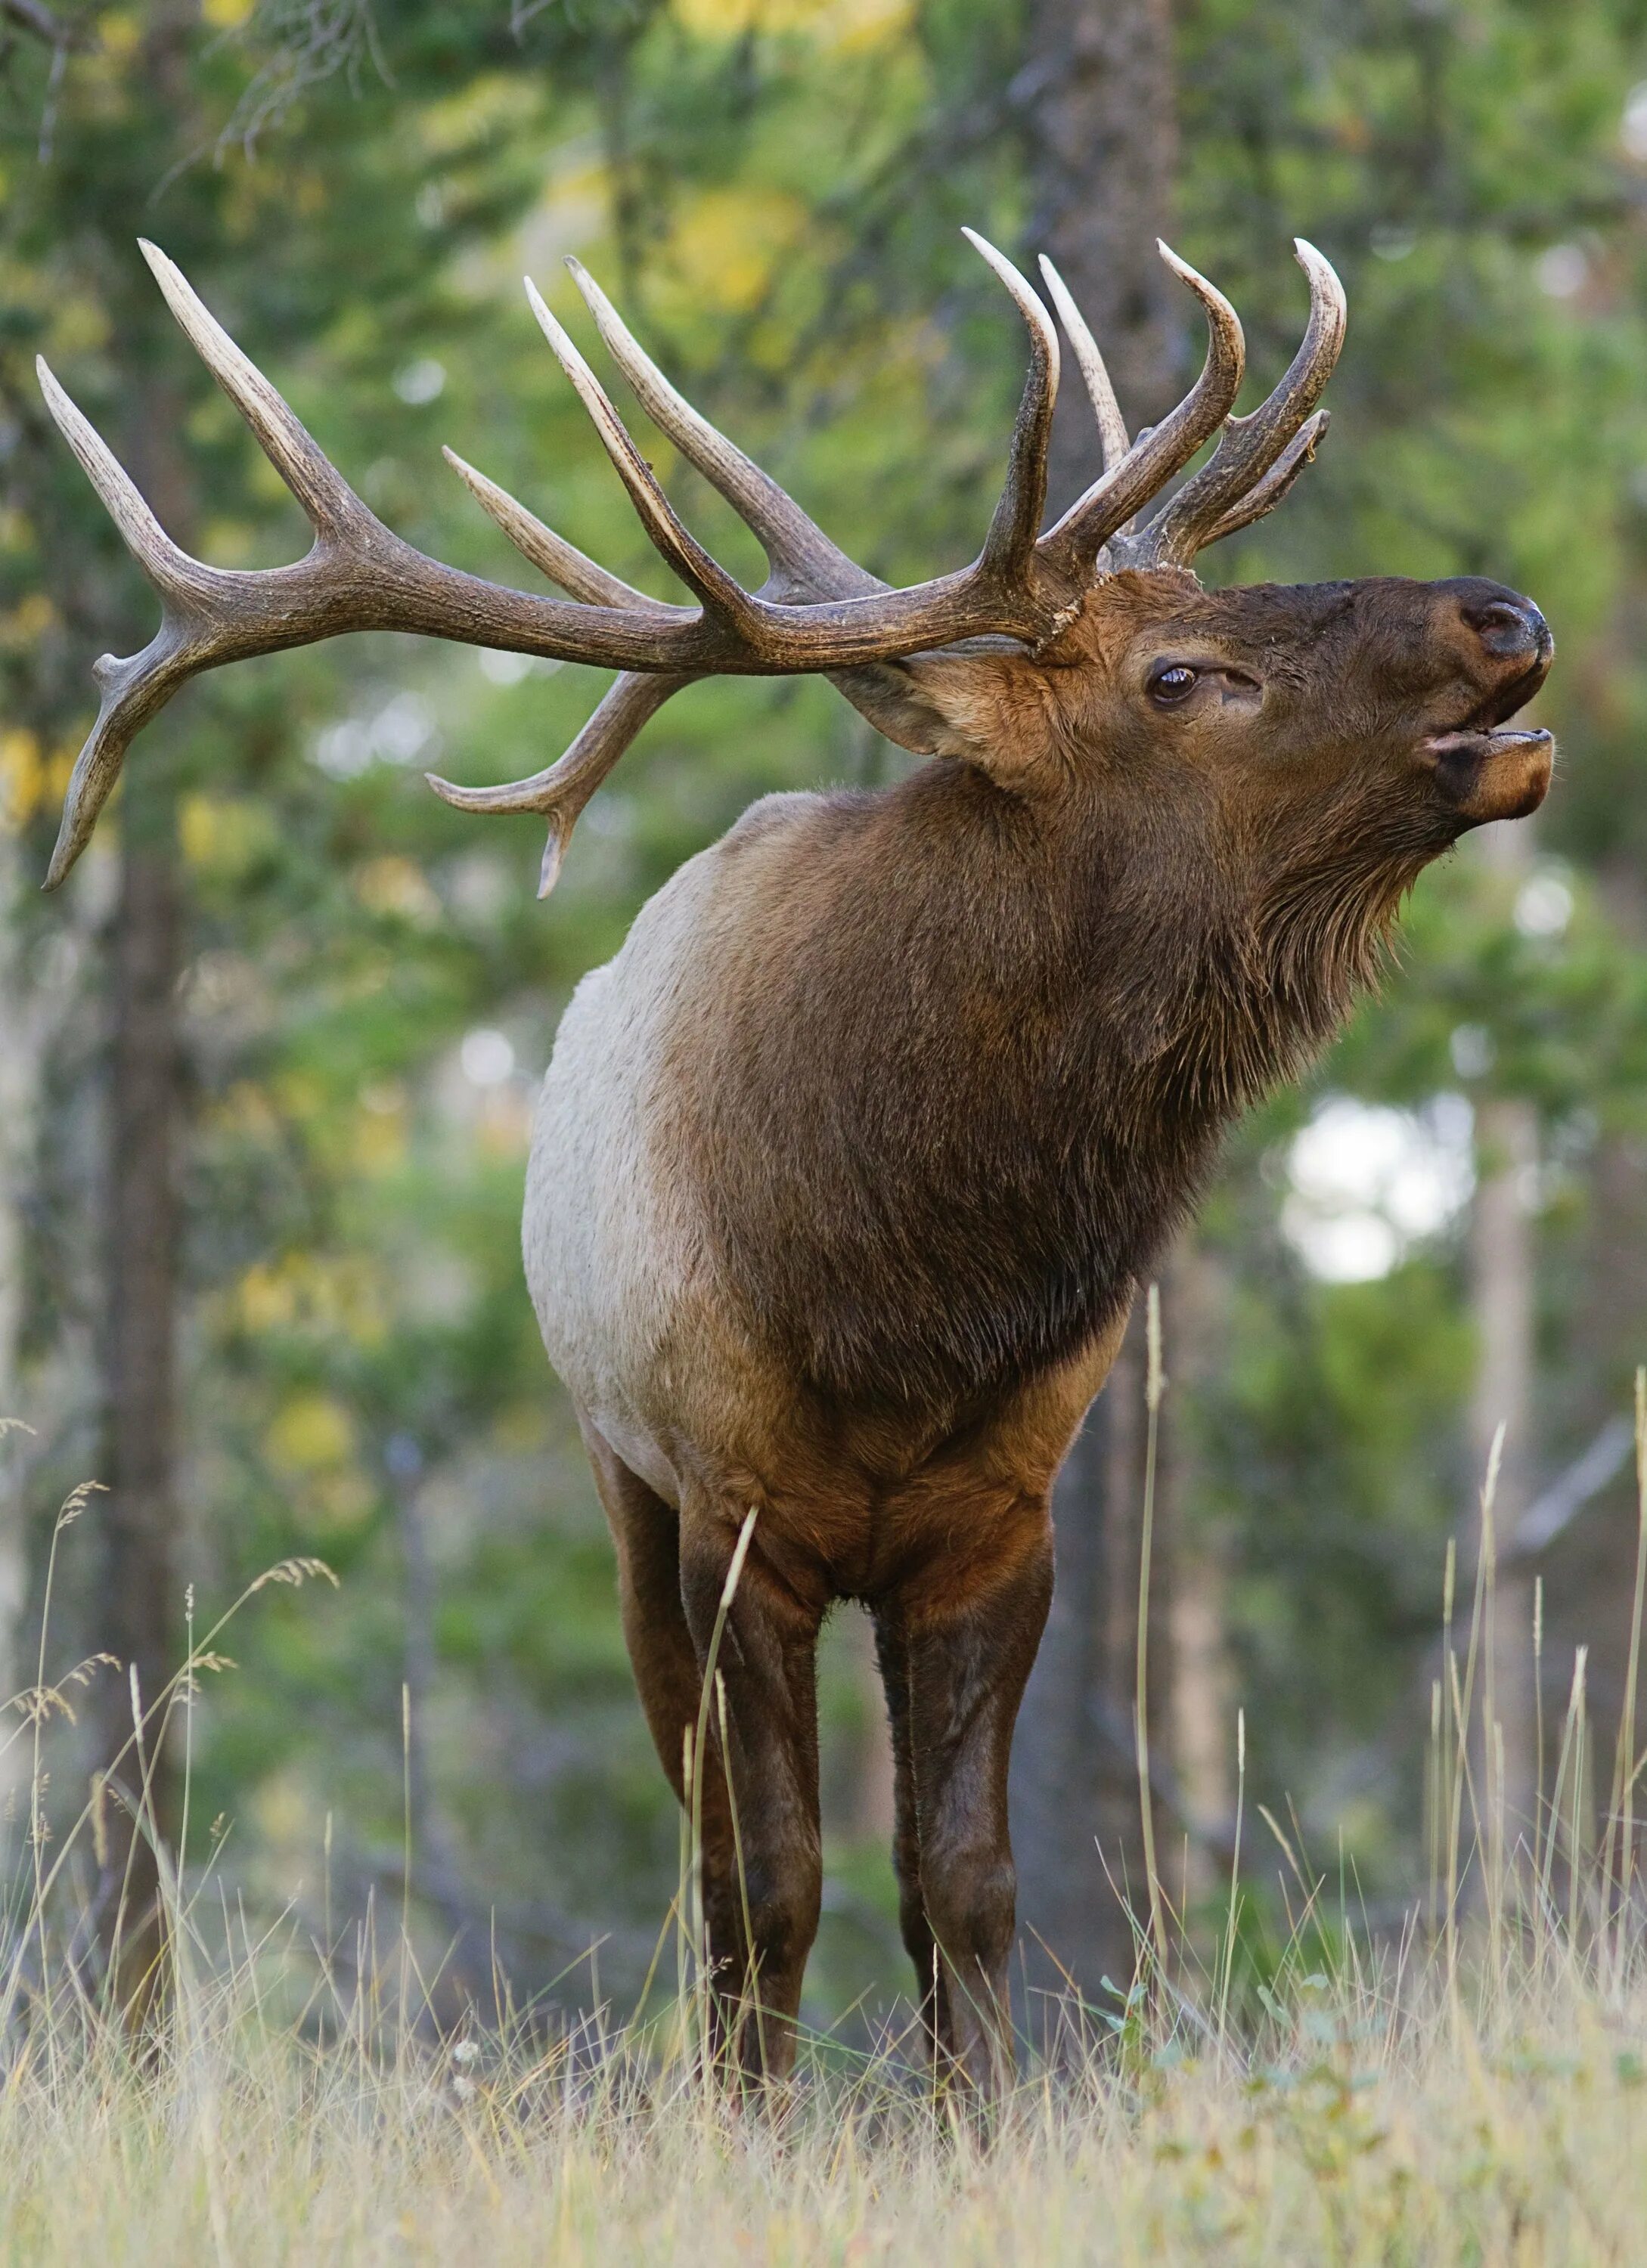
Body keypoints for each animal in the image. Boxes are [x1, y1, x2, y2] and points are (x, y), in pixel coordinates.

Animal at [42, 230, 1561, 2087]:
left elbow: (963, 1883)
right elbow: (764, 1886)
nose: (1506, 616)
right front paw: (745, 2116)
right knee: (700, 1859)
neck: (902, 1284)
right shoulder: (729, 1515)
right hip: (619, 1491)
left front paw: (980, 2114)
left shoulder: (1000, 1519)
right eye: (1180, 675)